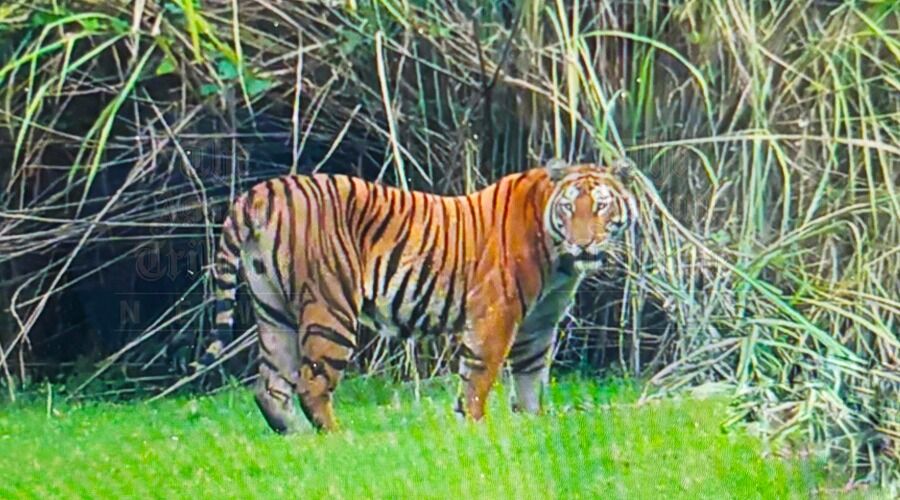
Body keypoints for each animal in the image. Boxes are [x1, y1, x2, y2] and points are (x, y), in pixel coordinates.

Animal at [198, 159, 638, 433]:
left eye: (601, 207)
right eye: (569, 208)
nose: (583, 244)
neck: (559, 260)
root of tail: (263, 190)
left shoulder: (539, 322)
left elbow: (531, 378)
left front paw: (531, 424)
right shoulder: (496, 312)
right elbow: (480, 375)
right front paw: (475, 427)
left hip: (274, 310)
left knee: (269, 387)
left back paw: (295, 438)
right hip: (331, 308)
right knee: (311, 384)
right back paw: (338, 437)